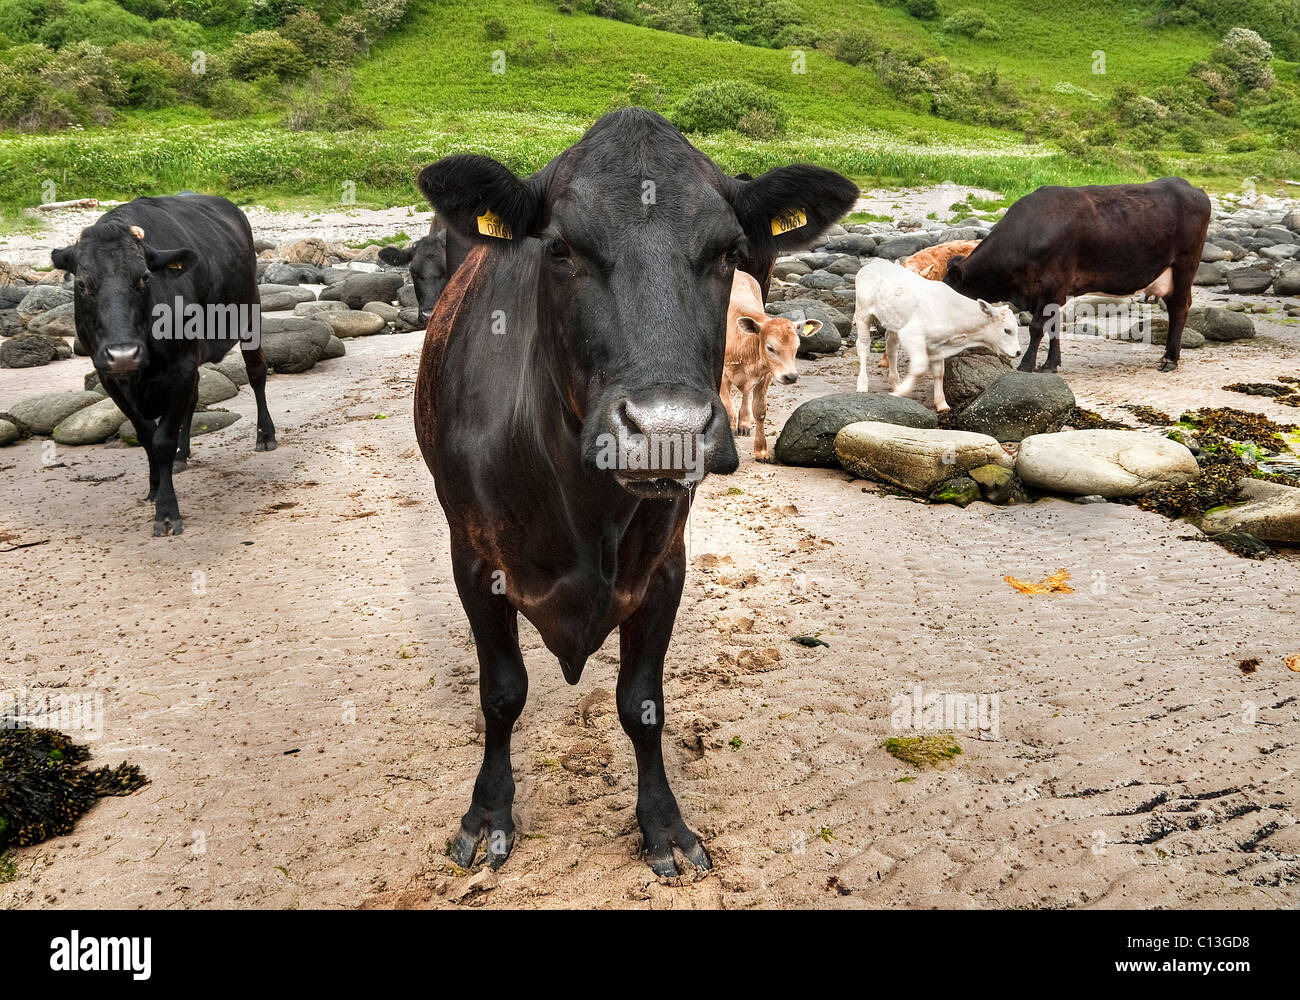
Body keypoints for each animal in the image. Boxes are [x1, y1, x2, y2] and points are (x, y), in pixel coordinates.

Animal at [50, 195, 275, 536]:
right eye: (82, 284)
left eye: (144, 278)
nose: (124, 353)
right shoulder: (109, 377)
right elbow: (146, 435)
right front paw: (155, 487)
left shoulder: (180, 368)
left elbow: (162, 441)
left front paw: (167, 511)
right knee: (194, 399)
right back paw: (184, 455)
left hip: (250, 312)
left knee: (256, 373)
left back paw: (265, 435)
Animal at [720, 269, 820, 461]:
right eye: (770, 347)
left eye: (797, 346)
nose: (791, 376)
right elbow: (727, 409)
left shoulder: (765, 377)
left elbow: (759, 411)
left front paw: (761, 451)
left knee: (746, 395)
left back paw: (744, 423)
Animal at [854, 259, 1020, 411]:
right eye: (1007, 330)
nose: (1018, 352)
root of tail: (873, 264)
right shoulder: (911, 334)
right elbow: (920, 367)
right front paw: (900, 393)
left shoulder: (937, 346)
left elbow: (939, 372)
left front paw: (941, 404)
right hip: (863, 313)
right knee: (863, 346)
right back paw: (862, 384)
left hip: (893, 321)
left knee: (891, 347)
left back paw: (895, 382)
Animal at [944, 178, 1211, 372]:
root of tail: (1188, 186)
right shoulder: (1049, 292)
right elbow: (1053, 326)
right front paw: (1051, 364)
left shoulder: (1052, 284)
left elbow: (1038, 326)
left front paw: (1026, 365)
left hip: (1185, 264)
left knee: (1180, 308)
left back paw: (1170, 359)